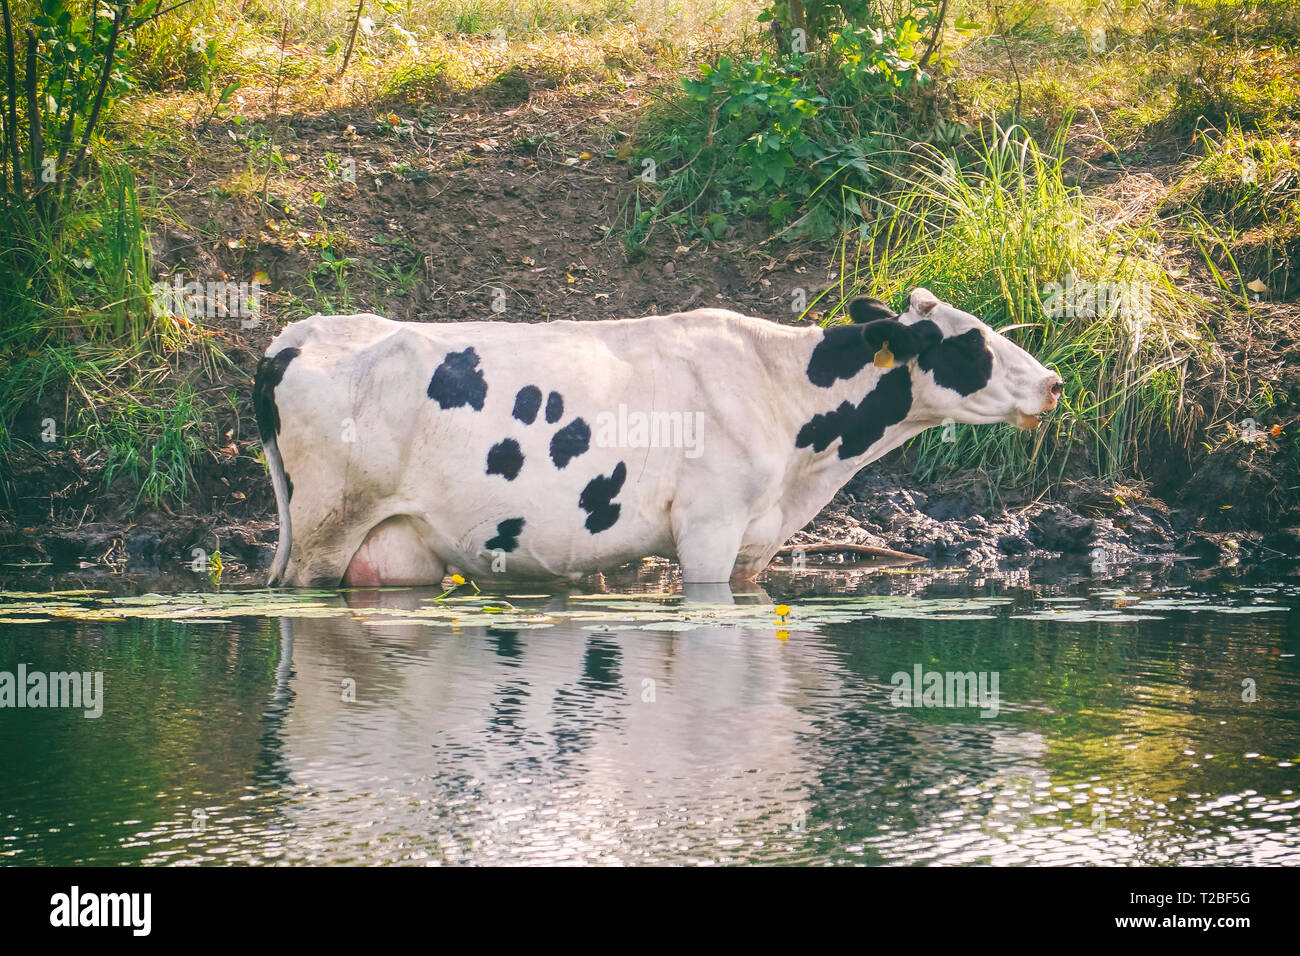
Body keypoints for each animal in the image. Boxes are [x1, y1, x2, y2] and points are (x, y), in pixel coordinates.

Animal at [253, 288, 1062, 588]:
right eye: (972, 341)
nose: (1054, 382)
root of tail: (298, 333)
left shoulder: (755, 543)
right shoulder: (707, 529)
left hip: (394, 549)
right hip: (324, 529)